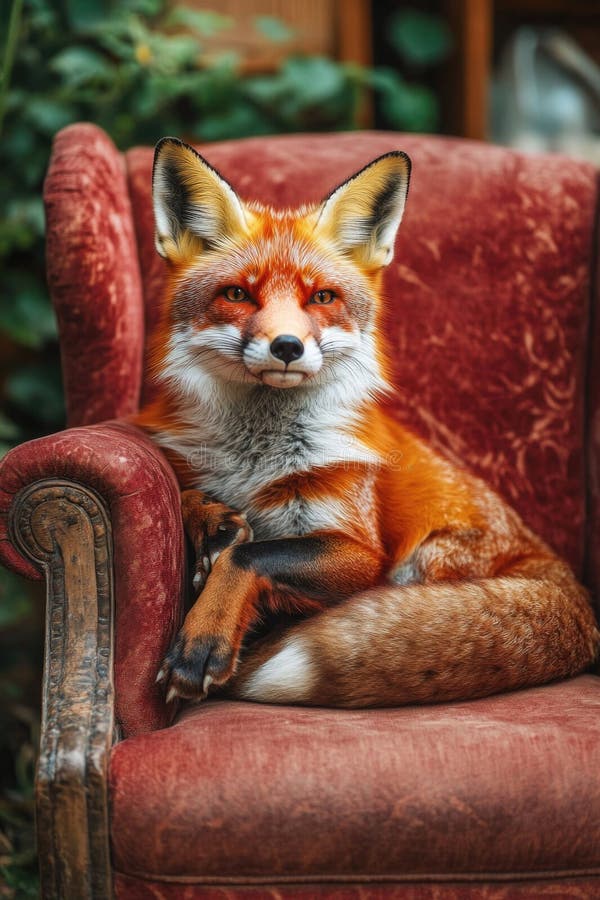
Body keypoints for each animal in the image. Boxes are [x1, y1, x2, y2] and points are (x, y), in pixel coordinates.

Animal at [135, 136, 599, 708]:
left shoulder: (361, 552)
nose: (286, 346)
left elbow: (251, 557)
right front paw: (212, 520)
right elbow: (189, 498)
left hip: (420, 561)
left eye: (322, 297)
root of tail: (557, 570)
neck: (257, 458)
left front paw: (202, 642)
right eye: (238, 294)